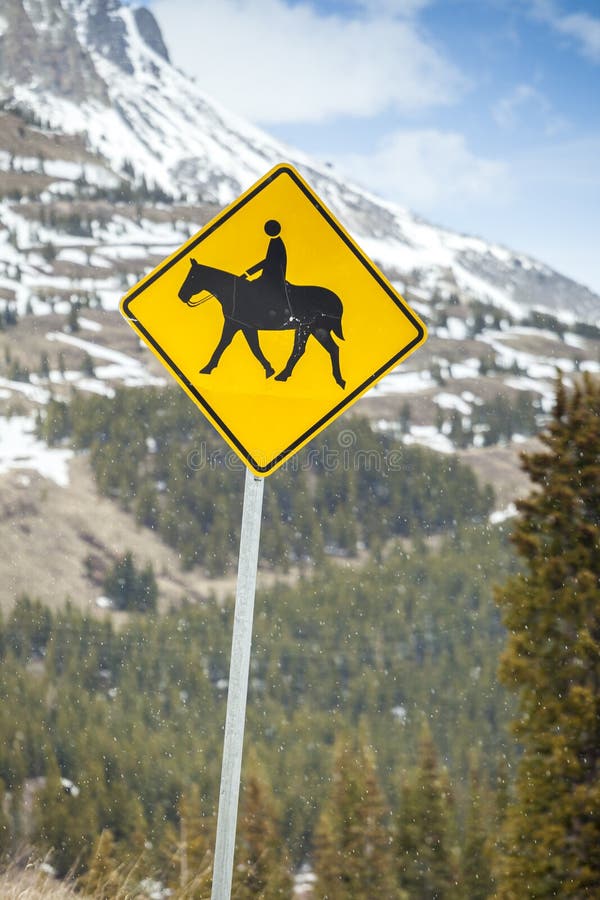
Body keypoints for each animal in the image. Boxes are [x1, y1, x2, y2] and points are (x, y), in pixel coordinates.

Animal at [178, 259, 345, 388]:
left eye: (192, 276)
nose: (181, 295)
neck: (232, 293)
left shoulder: (237, 325)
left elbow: (227, 344)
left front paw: (207, 368)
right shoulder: (244, 326)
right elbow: (253, 347)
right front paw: (269, 370)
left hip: (306, 328)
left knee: (300, 350)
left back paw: (283, 376)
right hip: (317, 329)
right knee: (332, 349)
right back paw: (339, 381)